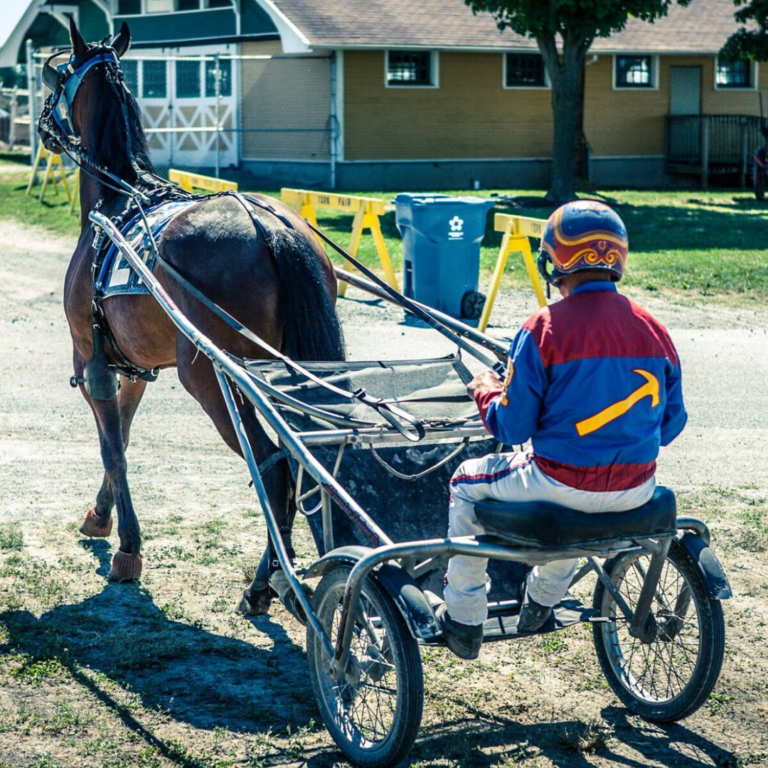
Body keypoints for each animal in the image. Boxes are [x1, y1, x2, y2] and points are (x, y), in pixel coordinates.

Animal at [37, 18, 345, 614]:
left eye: (57, 74)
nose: (41, 126)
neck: (119, 199)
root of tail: (269, 224)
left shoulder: (91, 358)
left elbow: (112, 447)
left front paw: (128, 549)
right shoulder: (134, 367)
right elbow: (123, 436)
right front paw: (101, 515)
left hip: (213, 377)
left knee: (275, 469)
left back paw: (264, 584)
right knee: (304, 461)